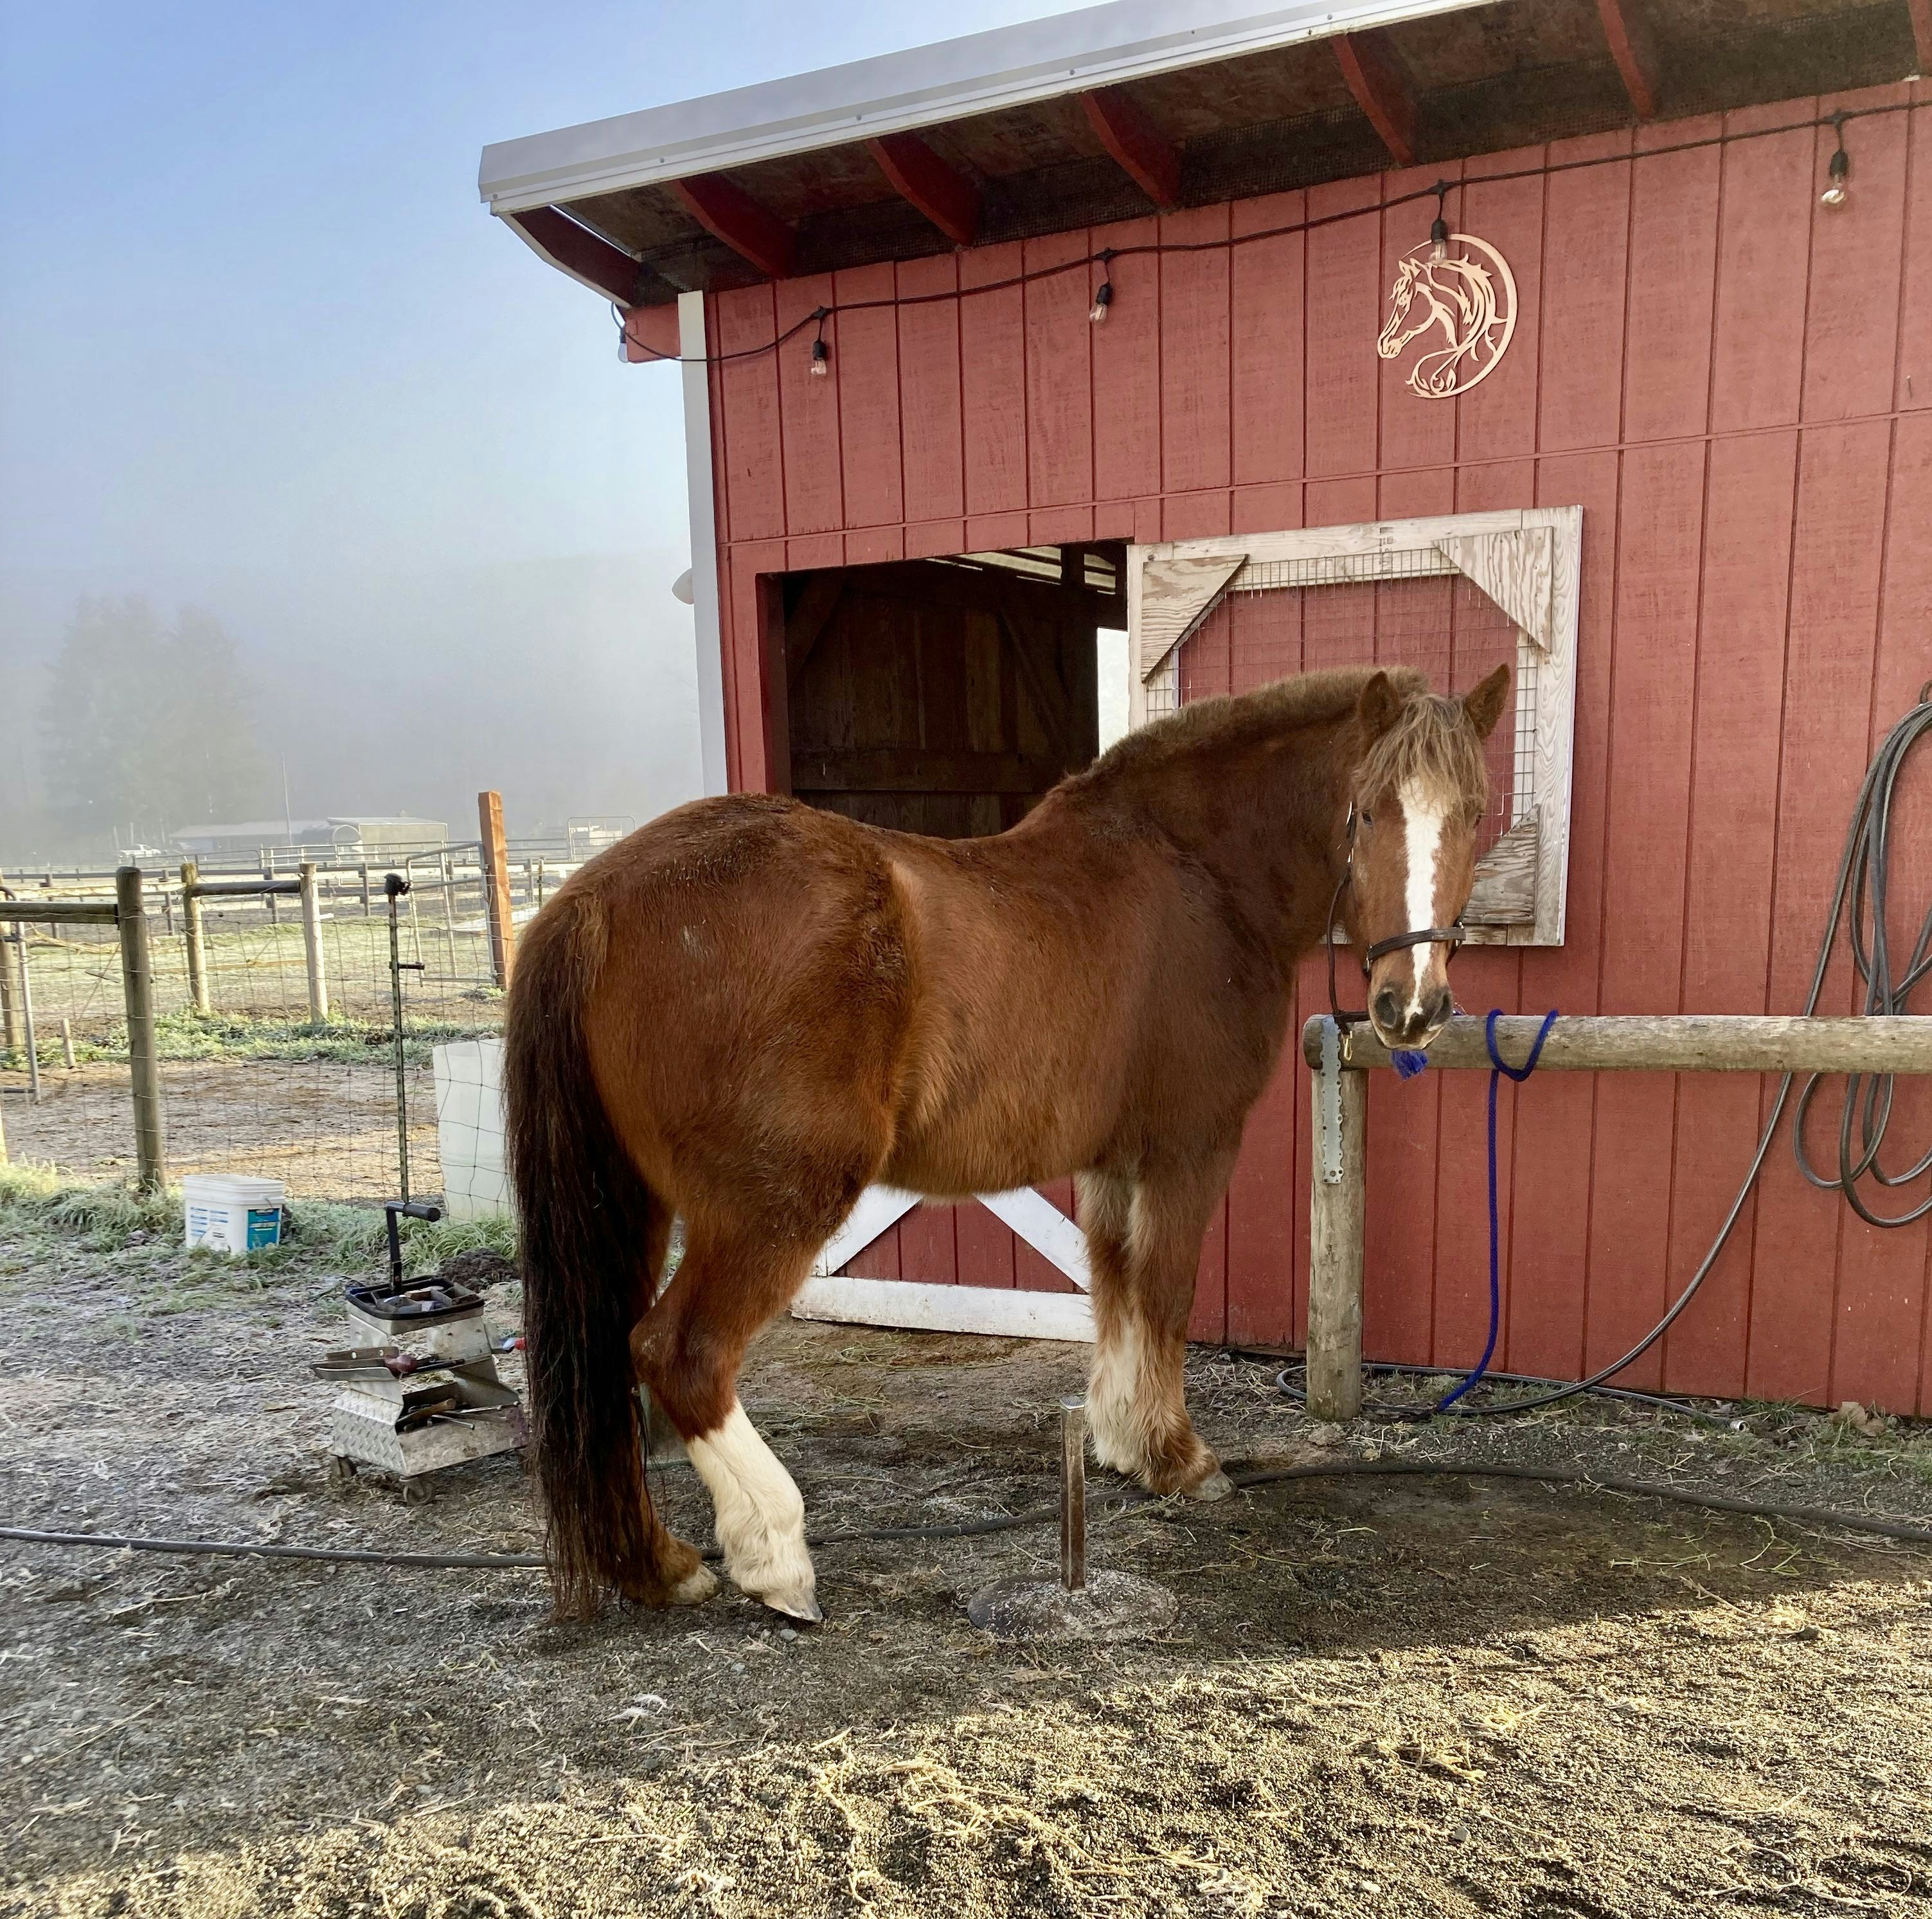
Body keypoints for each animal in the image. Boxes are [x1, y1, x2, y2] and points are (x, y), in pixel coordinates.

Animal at [504, 660, 1511, 1622]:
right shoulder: (1189, 1150)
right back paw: (776, 1560)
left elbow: (1114, 1289)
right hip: (772, 1203)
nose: (1411, 1006)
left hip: (633, 1205)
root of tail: (594, 899)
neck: (1198, 875)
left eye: (1472, 813)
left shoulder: (1111, 1166)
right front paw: (1178, 1458)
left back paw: (658, 1566)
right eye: (1367, 810)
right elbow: (1165, 1294)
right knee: (680, 1353)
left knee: (607, 1361)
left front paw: (1120, 1442)